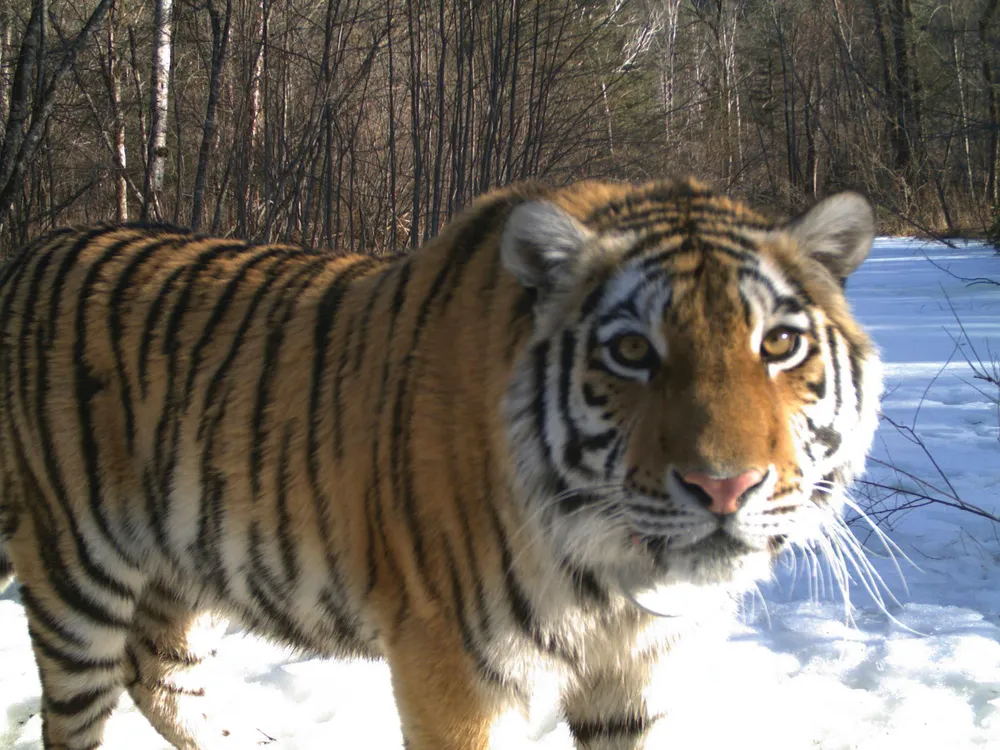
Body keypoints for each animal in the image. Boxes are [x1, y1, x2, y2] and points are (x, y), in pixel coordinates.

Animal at [0, 177, 882, 750]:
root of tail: (28, 253)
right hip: (76, 572)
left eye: (779, 343)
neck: (618, 581)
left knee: (160, 673)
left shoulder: (641, 672)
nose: (724, 486)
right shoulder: (453, 666)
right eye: (632, 352)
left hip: (181, 572)